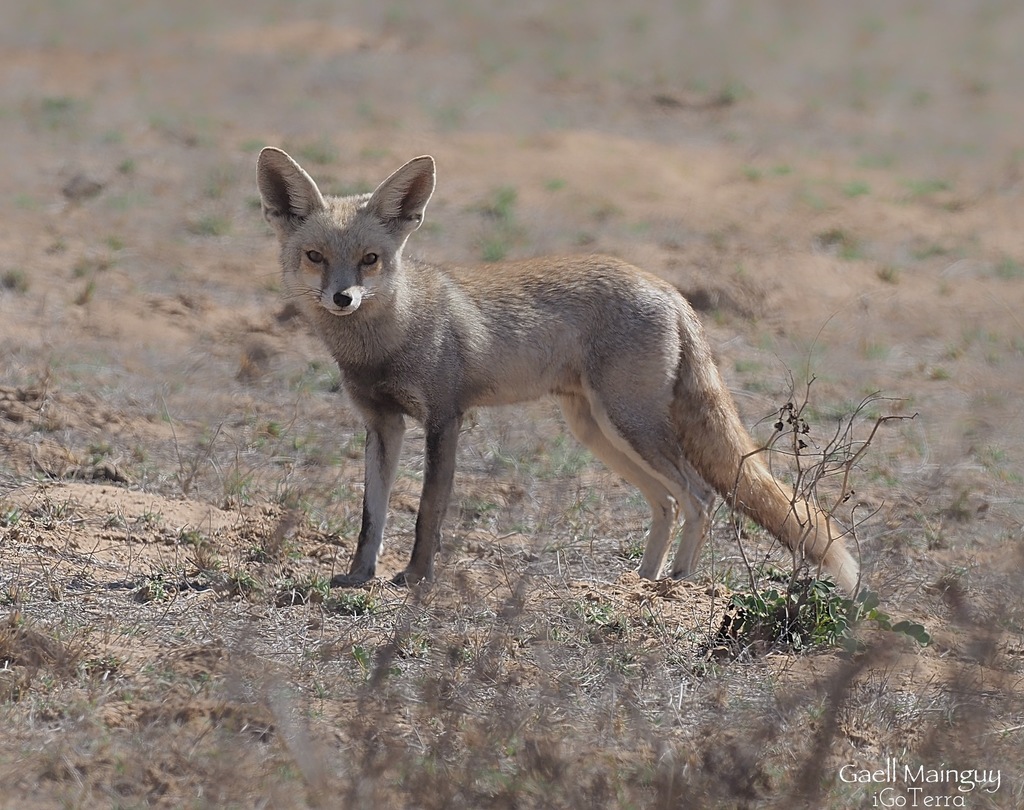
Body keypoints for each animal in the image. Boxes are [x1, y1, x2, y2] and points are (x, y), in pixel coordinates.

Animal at [255, 147, 859, 593]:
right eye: (315, 257)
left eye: (370, 260)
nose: (342, 298)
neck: (384, 344)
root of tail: (667, 287)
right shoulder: (381, 424)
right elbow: (371, 516)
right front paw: (359, 576)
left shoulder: (444, 419)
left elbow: (428, 512)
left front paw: (416, 579)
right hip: (596, 430)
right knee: (667, 501)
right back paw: (640, 581)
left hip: (631, 423)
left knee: (700, 497)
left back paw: (677, 584)